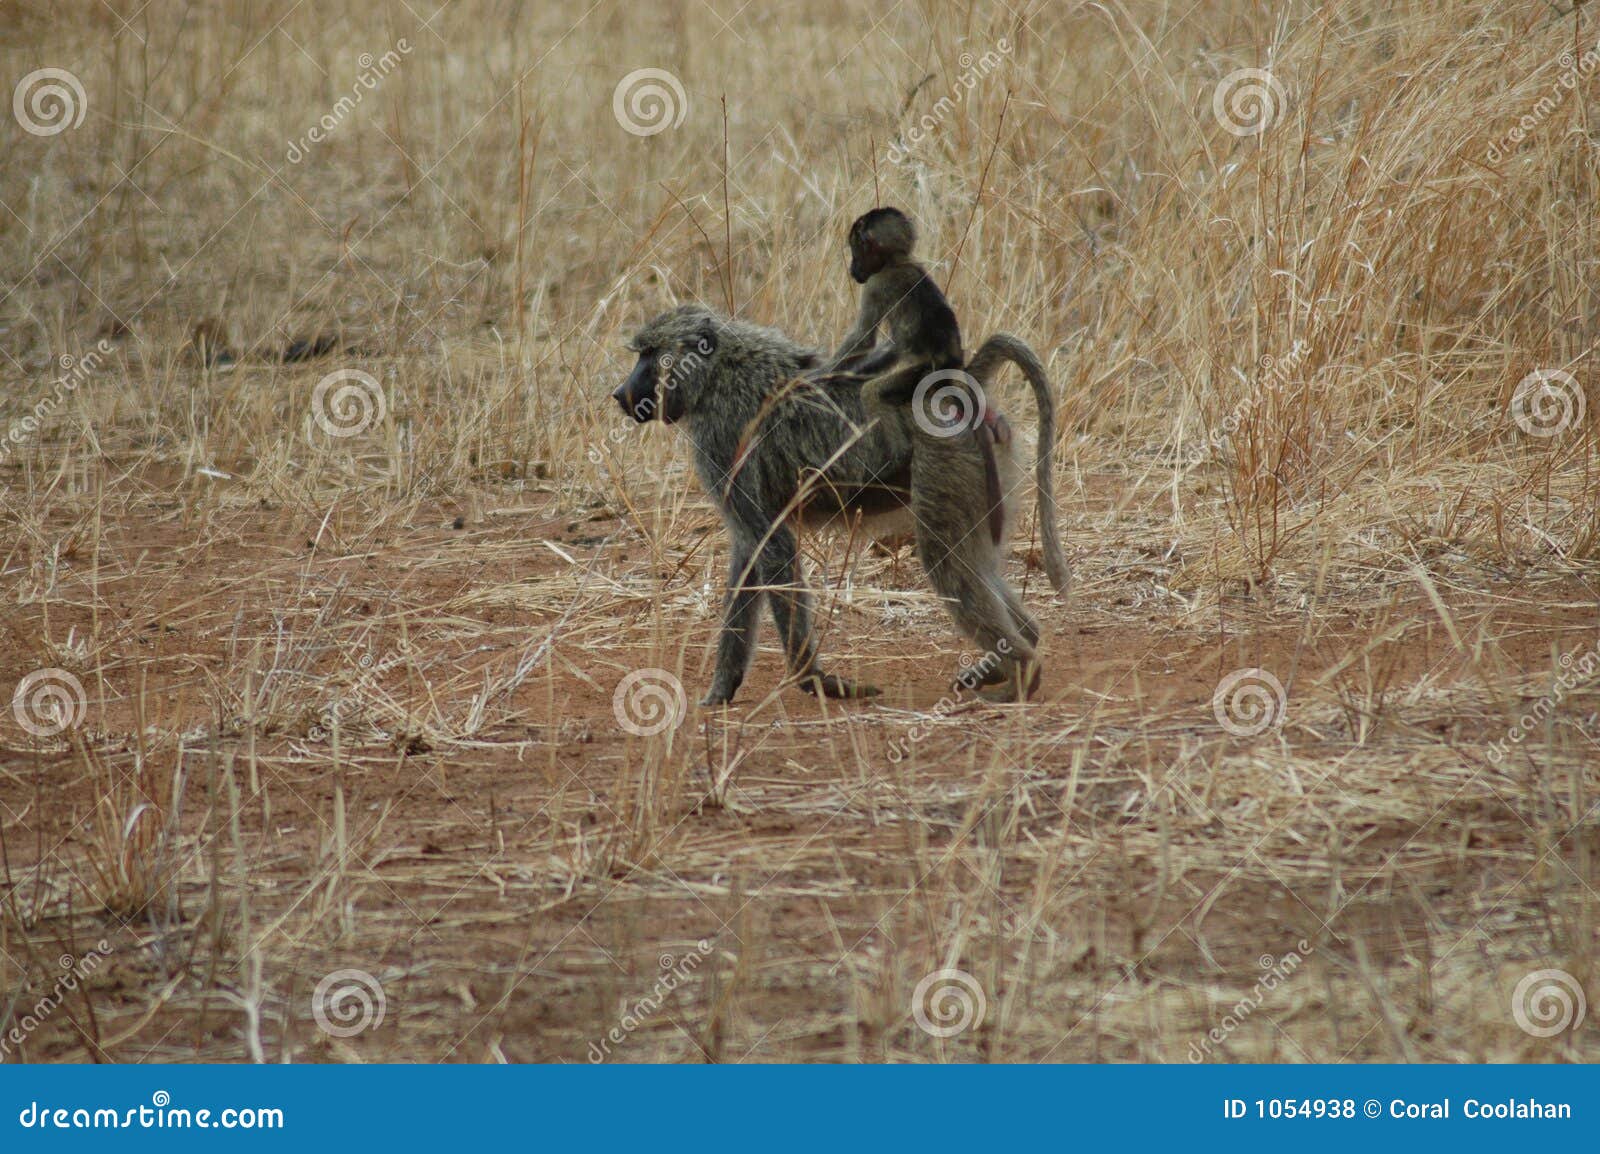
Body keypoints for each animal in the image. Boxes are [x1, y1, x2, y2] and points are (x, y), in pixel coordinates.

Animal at [613, 304, 1069, 706]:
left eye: (650, 355)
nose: (619, 393)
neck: (719, 371)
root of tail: (960, 386)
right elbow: (750, 553)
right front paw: (723, 688)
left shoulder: (720, 438)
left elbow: (773, 545)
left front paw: (817, 681)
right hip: (985, 469)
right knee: (973, 561)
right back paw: (1015, 651)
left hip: (949, 462)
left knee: (947, 561)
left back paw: (1021, 674)